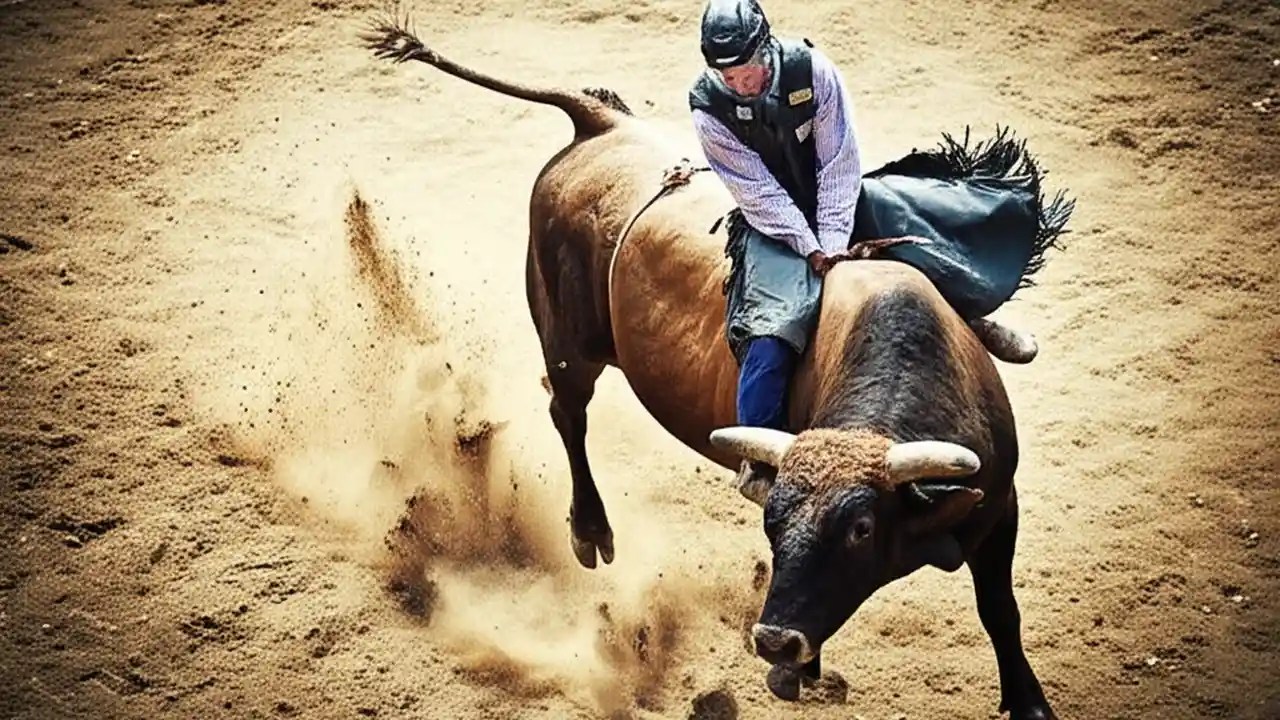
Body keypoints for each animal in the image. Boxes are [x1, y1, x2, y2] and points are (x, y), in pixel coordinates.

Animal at [364, 10, 1059, 719]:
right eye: (772, 522)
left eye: (861, 528)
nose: (774, 640)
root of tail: (598, 121)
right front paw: (796, 673)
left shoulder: (1000, 508)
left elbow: (999, 610)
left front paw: (1028, 701)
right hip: (567, 340)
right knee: (568, 413)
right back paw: (591, 531)